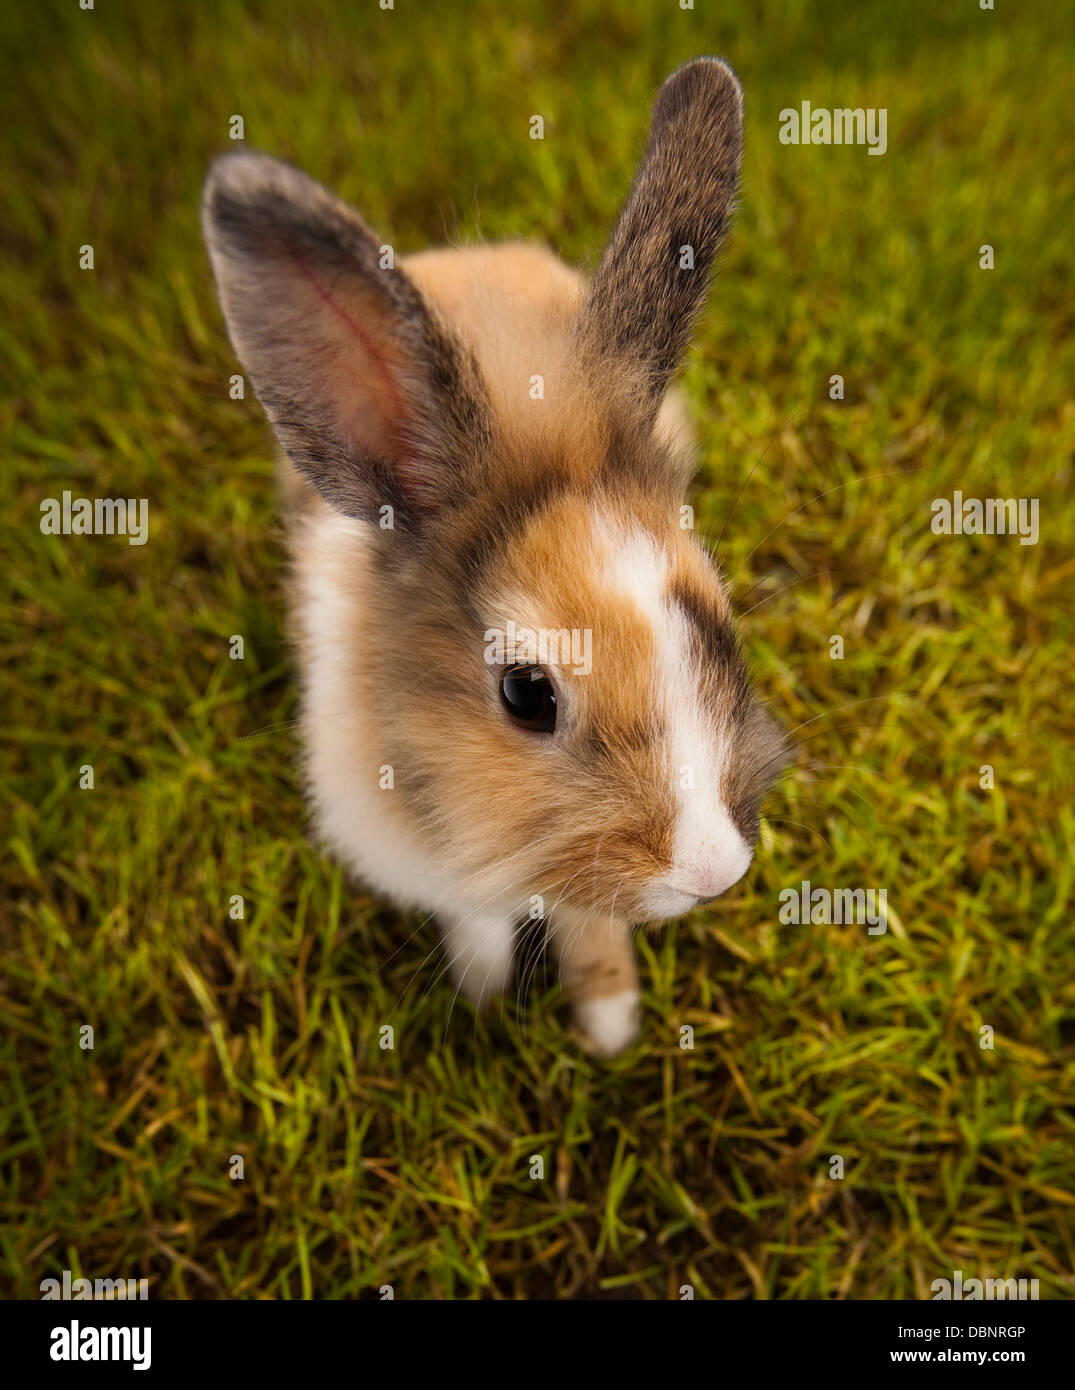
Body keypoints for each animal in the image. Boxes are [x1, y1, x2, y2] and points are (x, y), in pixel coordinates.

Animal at [201, 56, 786, 1057]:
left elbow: (593, 927)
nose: (711, 871)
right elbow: (474, 918)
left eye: (715, 621)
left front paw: (608, 1024)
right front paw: (481, 997)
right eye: (525, 694)